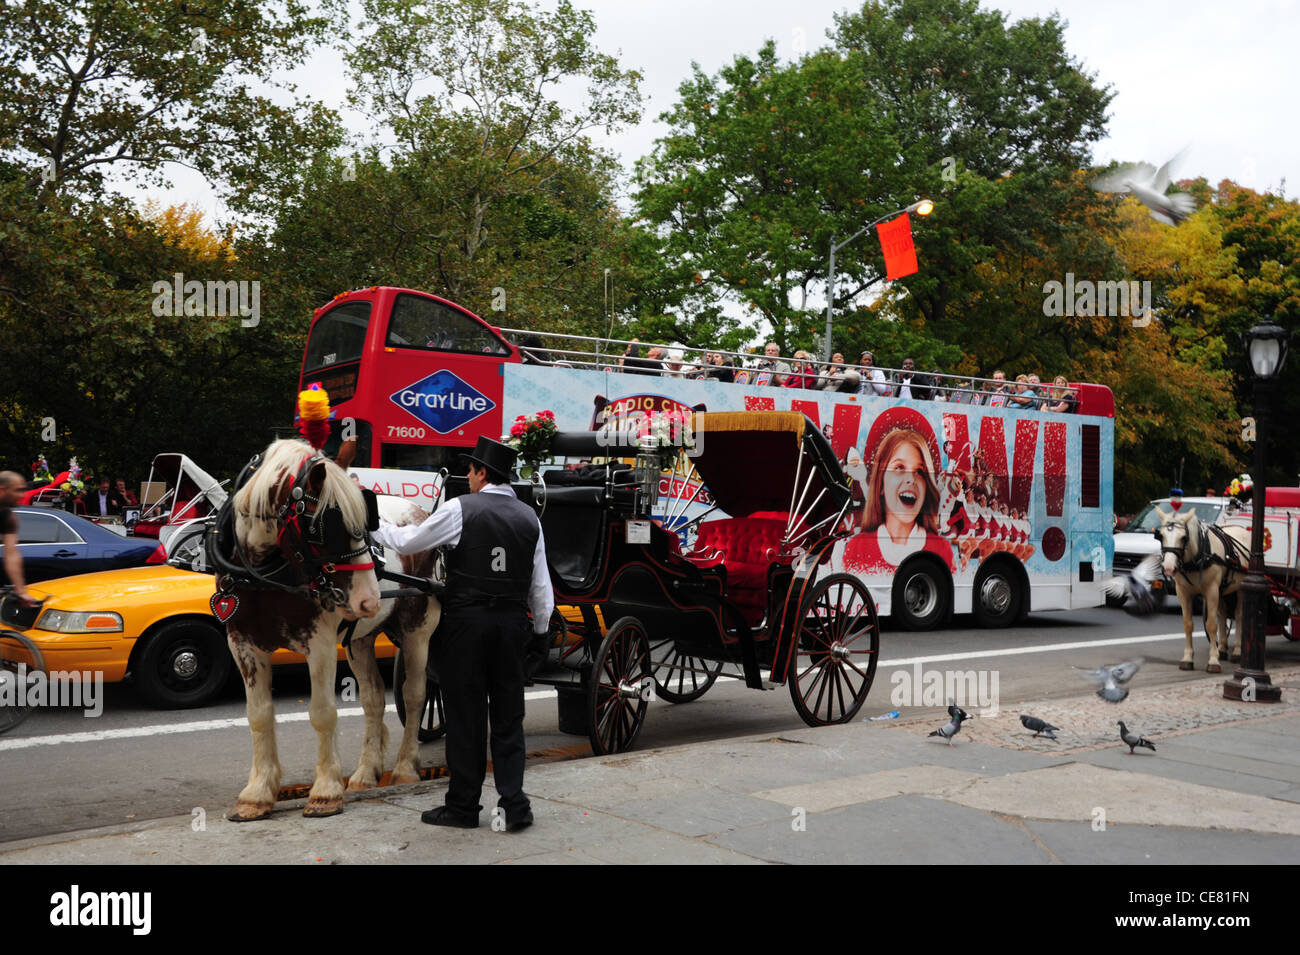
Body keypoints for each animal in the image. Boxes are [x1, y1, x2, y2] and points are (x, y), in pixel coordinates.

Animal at [208, 439, 439, 820]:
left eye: (366, 521)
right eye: (328, 526)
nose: (369, 599)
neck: (266, 575)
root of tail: (421, 512)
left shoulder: (319, 644)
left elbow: (322, 712)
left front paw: (326, 791)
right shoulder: (242, 644)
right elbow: (258, 715)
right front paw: (257, 793)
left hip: (417, 629)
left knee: (414, 694)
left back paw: (406, 767)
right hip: (360, 640)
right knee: (374, 699)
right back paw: (365, 772)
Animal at [1153, 506, 1251, 673]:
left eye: (1183, 537)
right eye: (1161, 536)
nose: (1168, 567)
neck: (1199, 555)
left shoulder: (1211, 591)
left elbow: (1211, 625)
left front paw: (1213, 660)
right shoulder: (1183, 592)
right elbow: (1188, 624)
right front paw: (1188, 658)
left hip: (1240, 589)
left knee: (1238, 616)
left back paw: (1237, 651)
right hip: (1222, 591)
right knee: (1223, 614)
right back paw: (1222, 648)